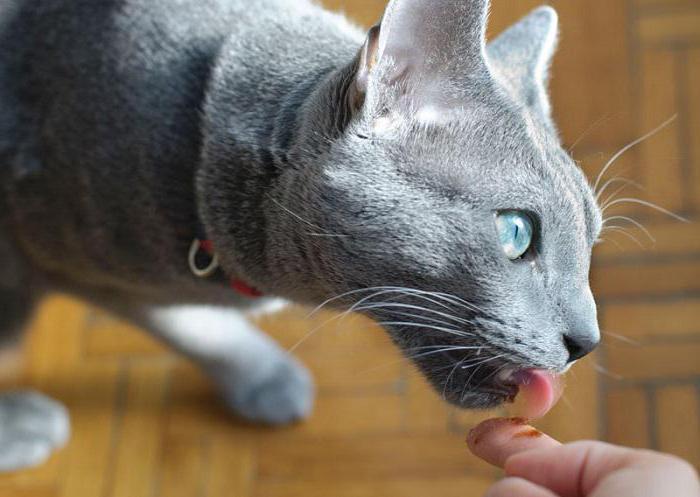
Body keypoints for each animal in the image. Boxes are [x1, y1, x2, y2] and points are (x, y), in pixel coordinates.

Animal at [0, 0, 600, 470]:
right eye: (517, 232)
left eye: (592, 239)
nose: (586, 342)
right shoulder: (65, 258)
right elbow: (194, 325)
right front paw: (267, 382)